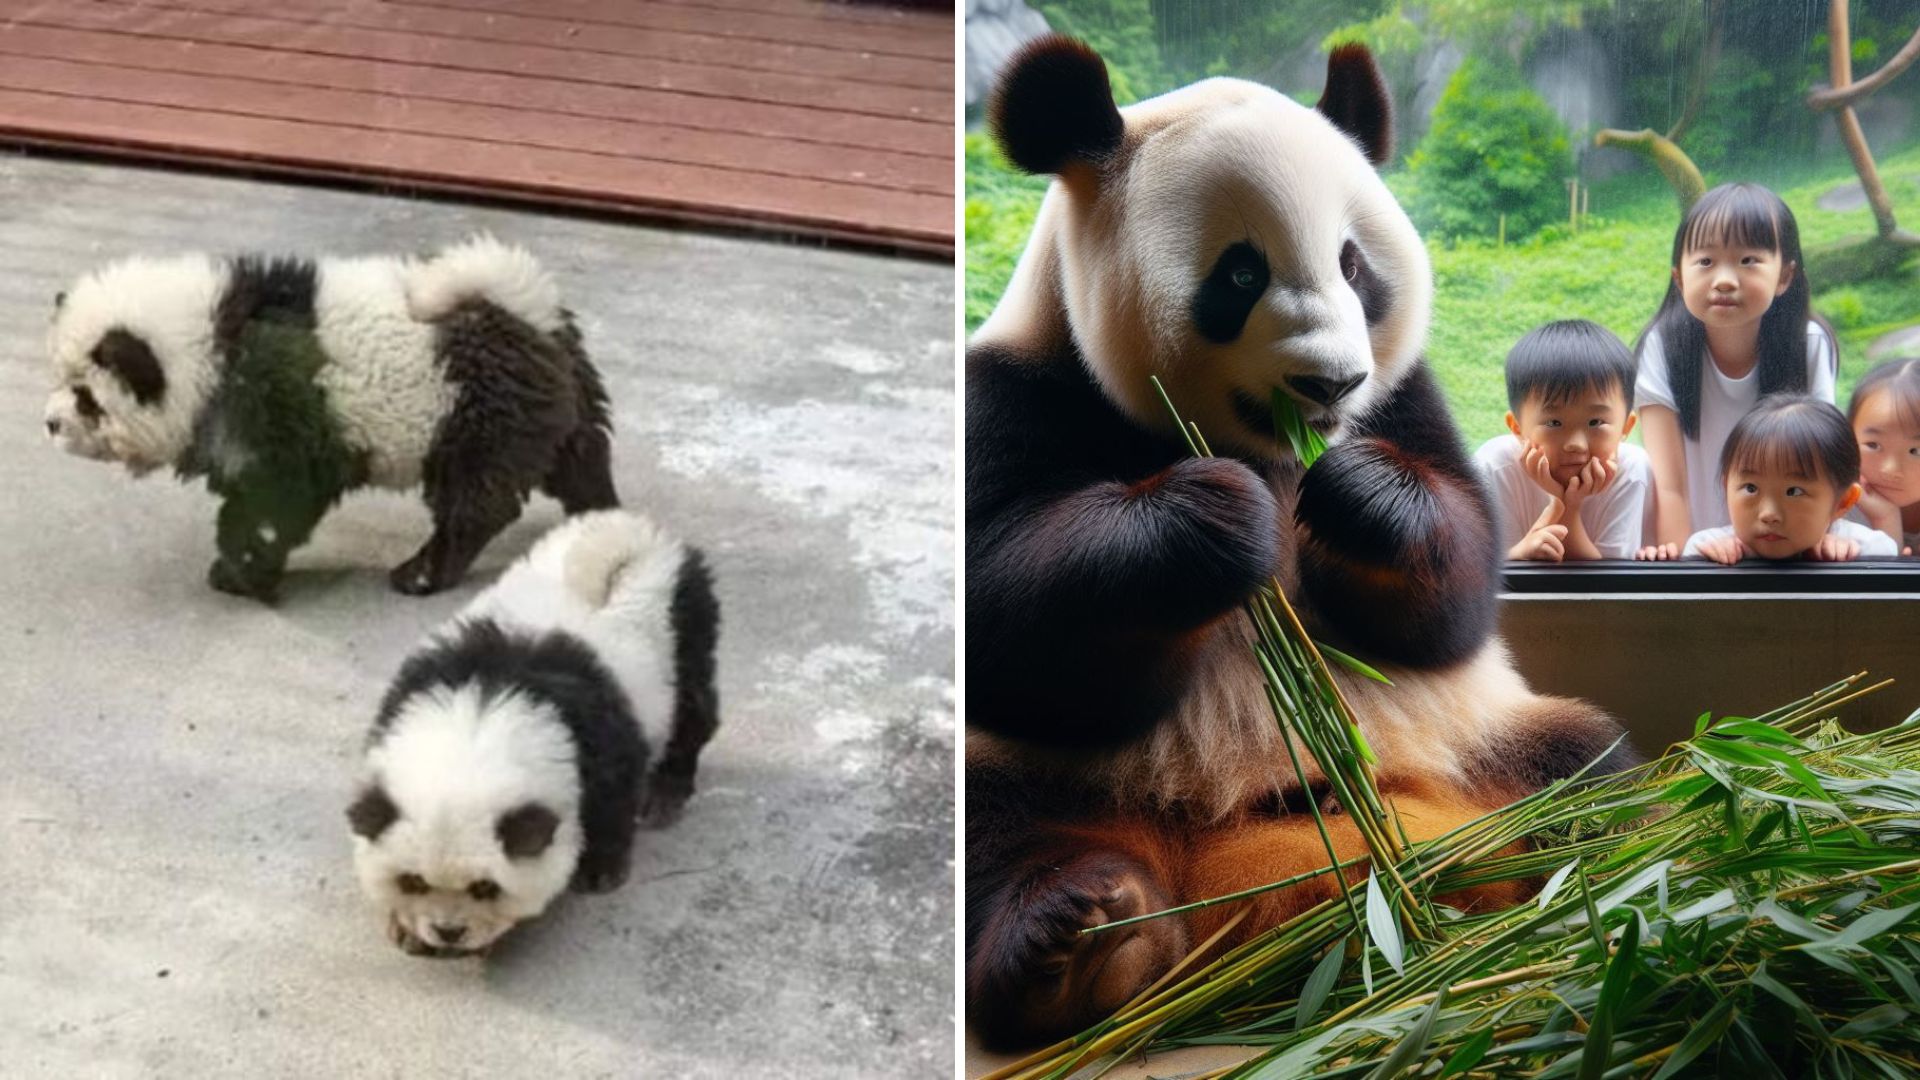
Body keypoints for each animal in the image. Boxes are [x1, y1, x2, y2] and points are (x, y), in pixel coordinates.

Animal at [965, 37, 1639, 1049]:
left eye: (1355, 265)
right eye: (1241, 275)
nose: (1330, 384)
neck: (1273, 453)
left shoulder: (1403, 398)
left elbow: (1456, 589)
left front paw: (1362, 497)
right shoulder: (1017, 391)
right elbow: (1013, 627)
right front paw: (1212, 521)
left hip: (1487, 735)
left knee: (1594, 764)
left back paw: (1619, 846)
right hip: (1055, 780)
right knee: (1002, 838)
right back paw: (1080, 940)